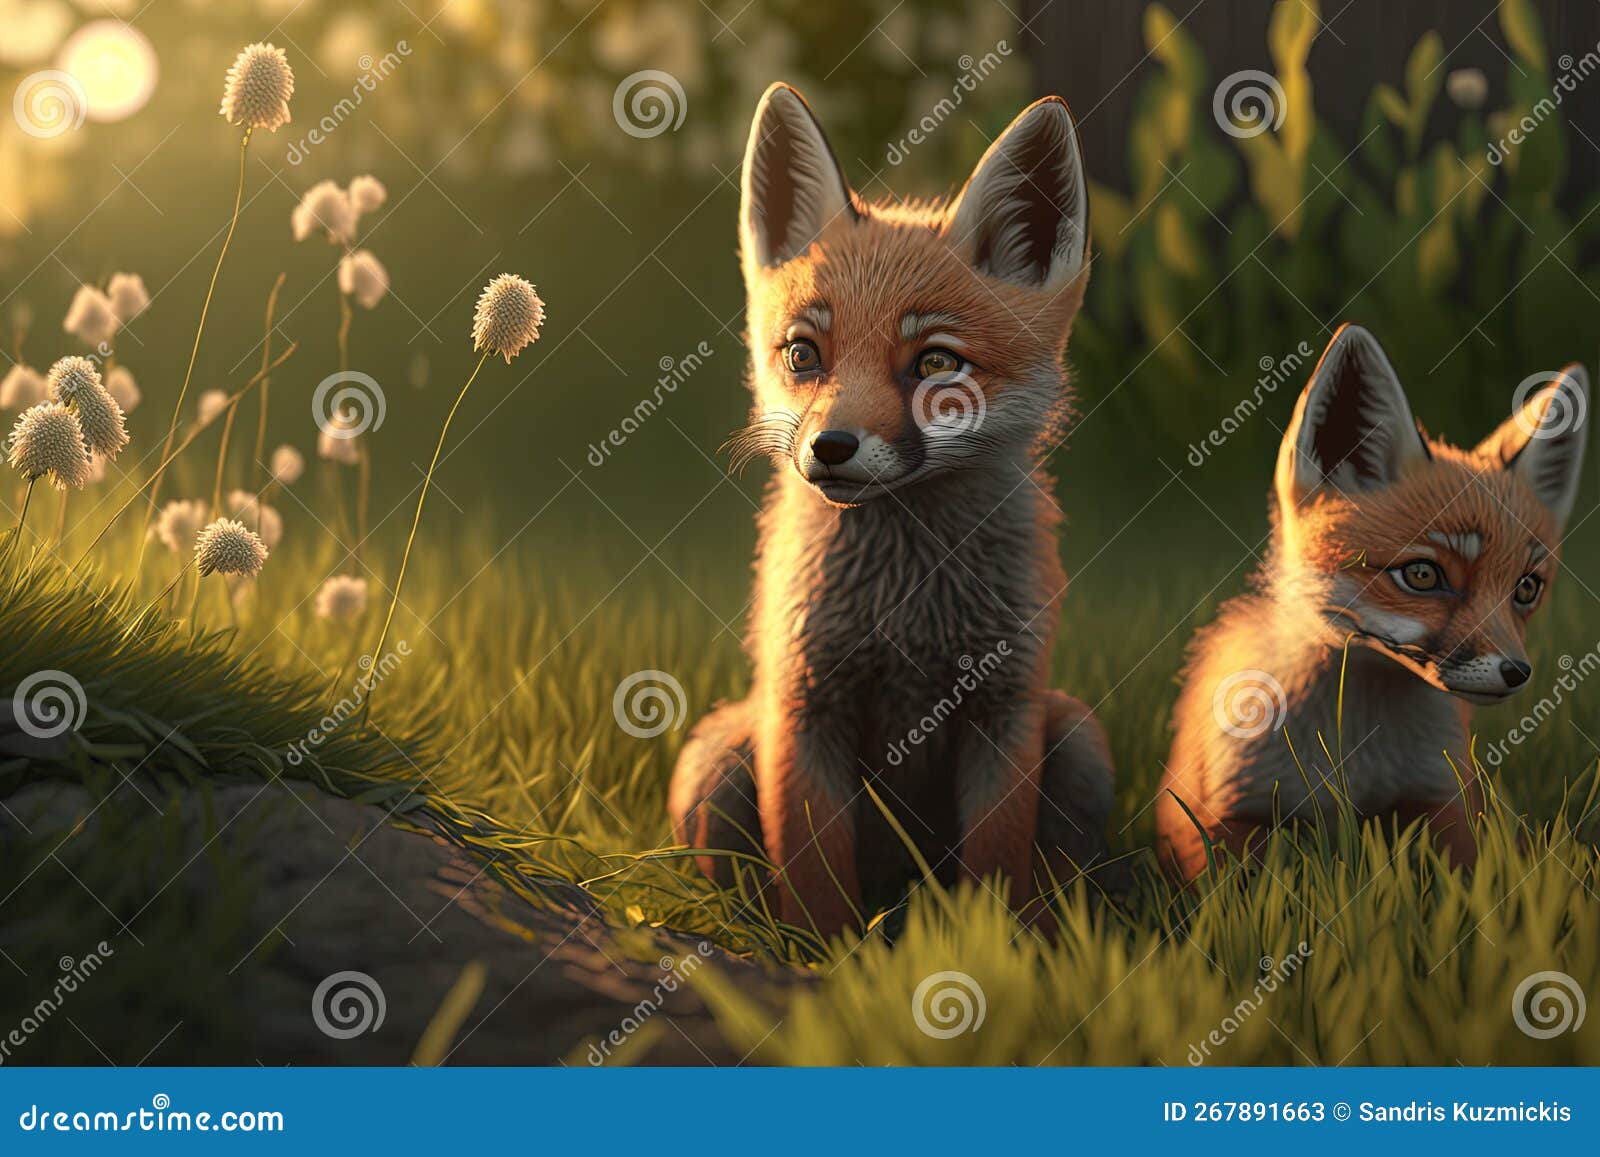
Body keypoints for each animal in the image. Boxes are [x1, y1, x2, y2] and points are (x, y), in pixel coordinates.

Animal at [667, 84, 1116, 935]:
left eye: (935, 362)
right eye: (803, 354)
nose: (830, 447)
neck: (909, 609)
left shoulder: (1004, 707)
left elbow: (996, 871)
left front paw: (992, 951)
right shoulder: (806, 702)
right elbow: (815, 887)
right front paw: (821, 958)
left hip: (1078, 740)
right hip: (717, 761)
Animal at [1157, 324, 1589, 881]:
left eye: (1526, 589)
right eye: (1422, 575)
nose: (1516, 672)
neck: (1354, 760)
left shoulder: (1441, 799)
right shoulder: (1225, 811)